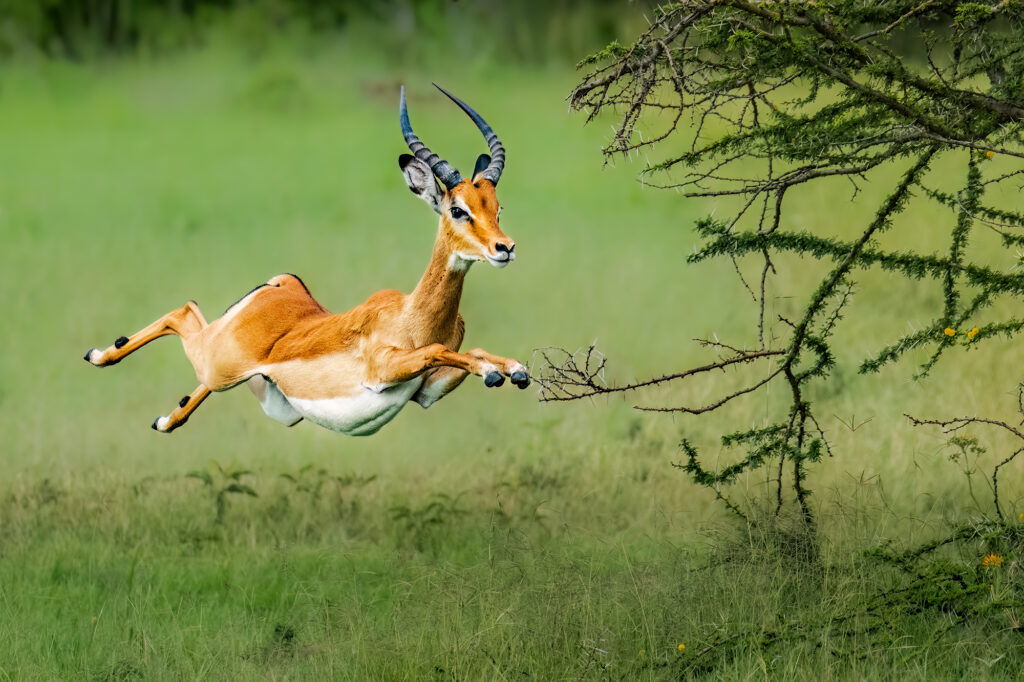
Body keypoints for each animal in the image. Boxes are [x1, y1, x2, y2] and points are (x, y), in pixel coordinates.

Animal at [84, 84, 530, 436]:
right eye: (458, 209)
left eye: (497, 207)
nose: (504, 248)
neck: (414, 316)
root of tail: (283, 286)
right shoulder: (384, 367)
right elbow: (442, 351)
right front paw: (497, 371)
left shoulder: (426, 392)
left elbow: (473, 352)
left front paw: (515, 369)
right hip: (218, 365)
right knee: (183, 311)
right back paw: (100, 356)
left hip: (256, 392)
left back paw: (164, 419)